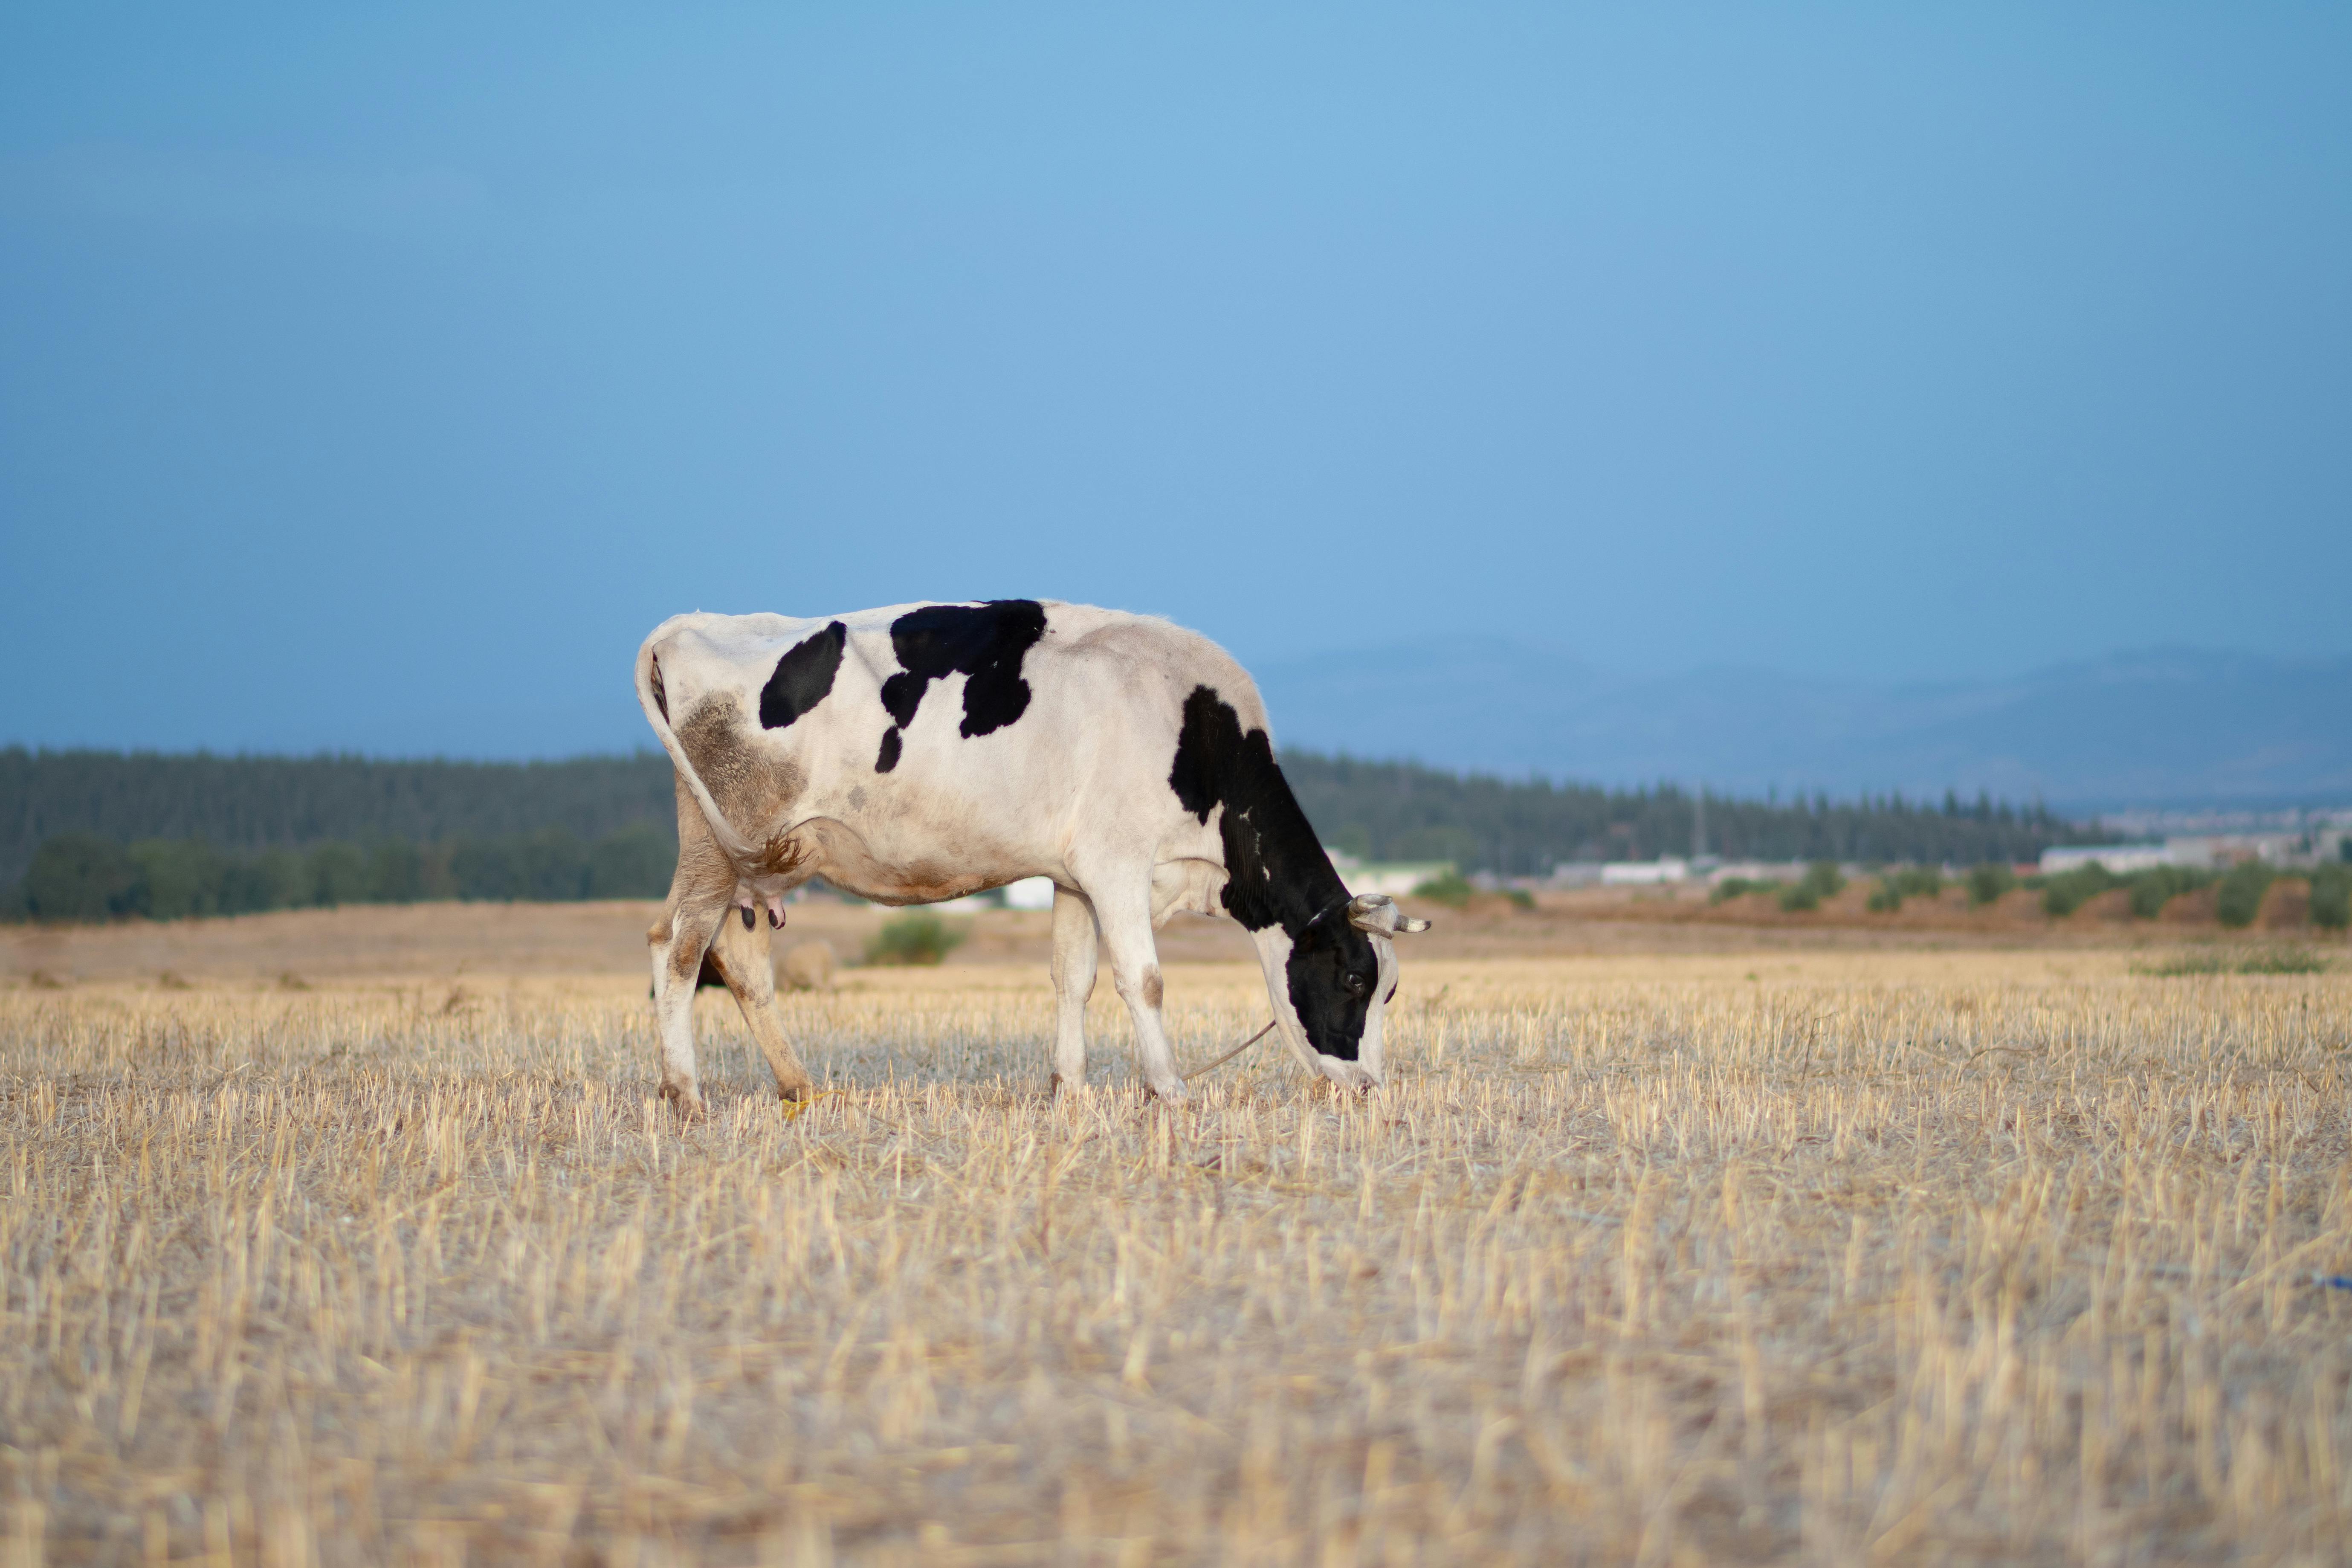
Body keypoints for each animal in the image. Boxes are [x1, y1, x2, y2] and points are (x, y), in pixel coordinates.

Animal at [634, 599, 1429, 1114]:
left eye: (1390, 990)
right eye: (1356, 980)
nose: (1370, 1090)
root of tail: (694, 624)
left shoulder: (1074, 876)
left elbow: (1073, 979)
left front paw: (1069, 1089)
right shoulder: (1117, 866)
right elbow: (1144, 980)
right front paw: (1169, 1089)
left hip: (745, 864)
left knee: (737, 960)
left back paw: (797, 1084)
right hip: (717, 842)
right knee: (678, 946)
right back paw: (686, 1093)